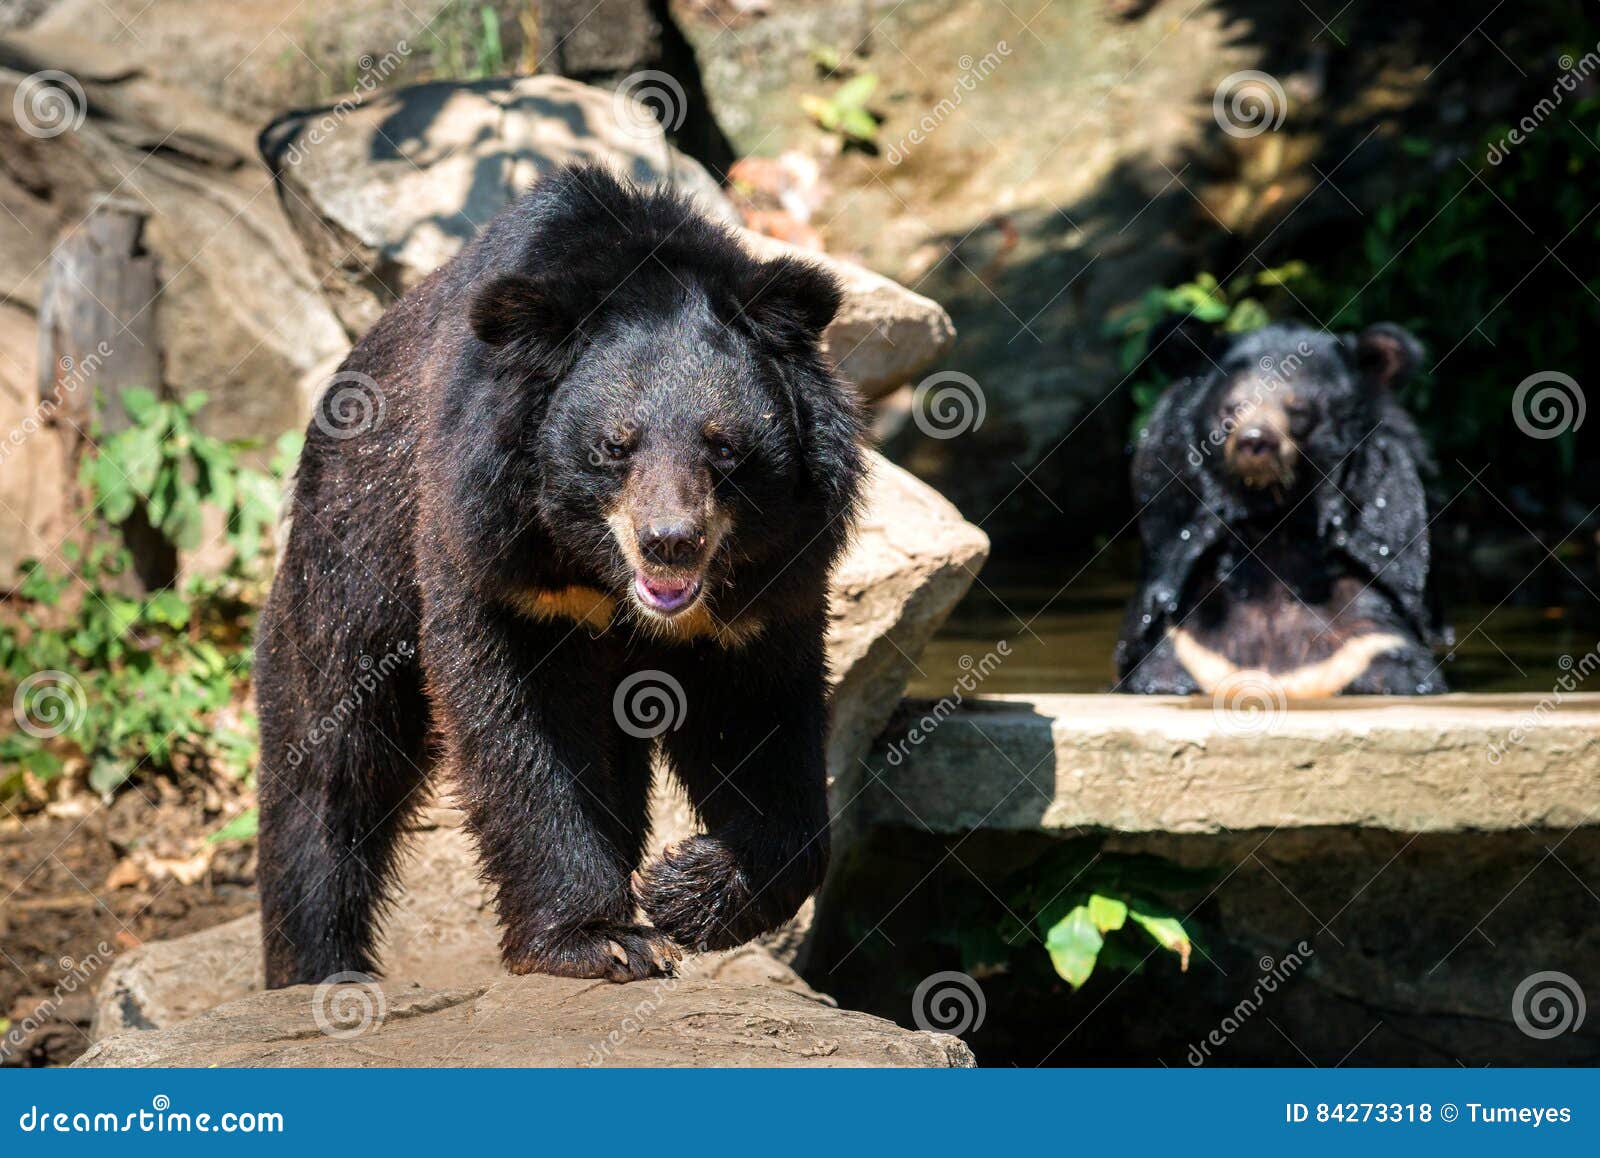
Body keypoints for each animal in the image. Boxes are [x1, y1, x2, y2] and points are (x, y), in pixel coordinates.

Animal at [254, 164, 865, 988]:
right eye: (615, 445)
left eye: (725, 445)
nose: (671, 543)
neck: (604, 580)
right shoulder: (495, 551)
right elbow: (522, 729)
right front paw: (600, 938)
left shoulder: (768, 584)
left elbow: (764, 722)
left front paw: (687, 891)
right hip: (354, 555)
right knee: (333, 759)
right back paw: (321, 967)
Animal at [1114, 318, 1446, 697]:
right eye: (1231, 409)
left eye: (1298, 410)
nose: (1255, 440)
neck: (1275, 524)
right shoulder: (1187, 647)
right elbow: (1160, 669)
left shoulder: (1366, 643)